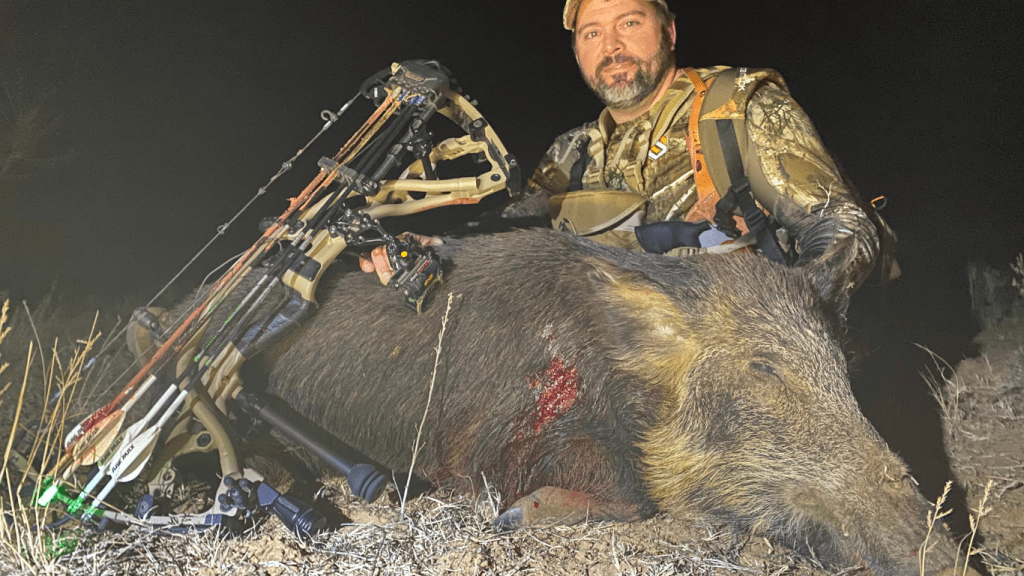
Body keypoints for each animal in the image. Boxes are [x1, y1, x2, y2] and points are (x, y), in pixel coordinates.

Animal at [164, 228, 966, 576]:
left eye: (841, 367)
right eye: (763, 366)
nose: (944, 556)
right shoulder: (493, 441)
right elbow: (626, 496)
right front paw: (514, 516)